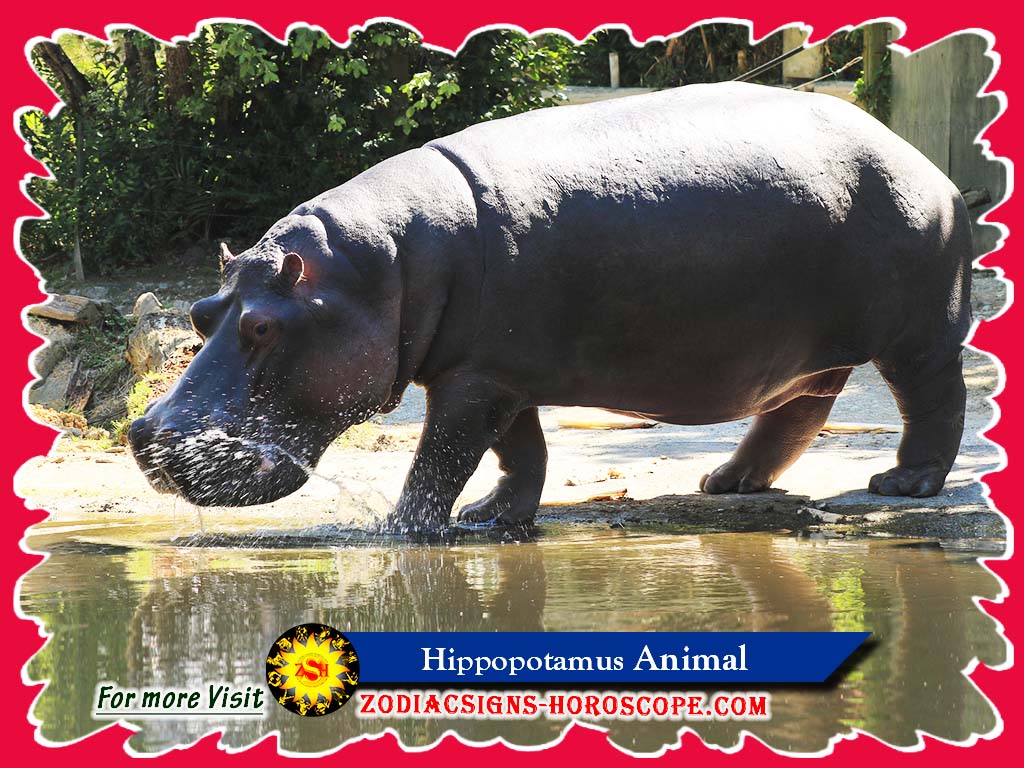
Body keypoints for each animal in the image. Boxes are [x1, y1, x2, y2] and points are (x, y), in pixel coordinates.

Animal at [128, 82, 973, 532]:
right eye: (202, 313)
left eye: (264, 326)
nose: (146, 434)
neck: (378, 271)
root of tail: (927, 165)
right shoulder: (496, 372)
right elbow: (518, 453)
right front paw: (492, 518)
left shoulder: (474, 381)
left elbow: (440, 457)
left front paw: (404, 530)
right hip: (809, 349)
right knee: (799, 406)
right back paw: (726, 483)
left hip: (917, 334)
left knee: (934, 398)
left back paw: (903, 485)